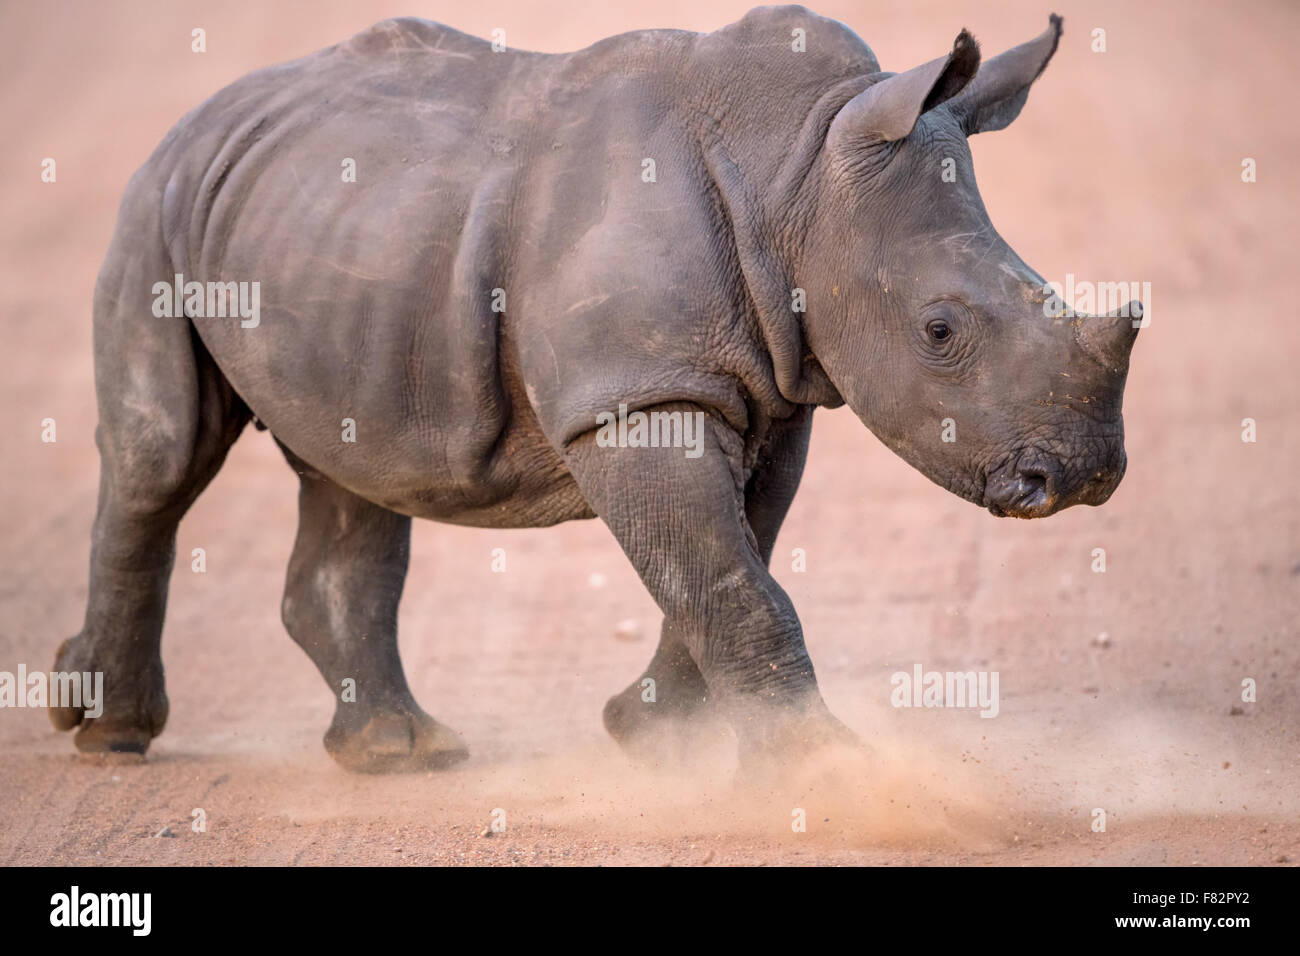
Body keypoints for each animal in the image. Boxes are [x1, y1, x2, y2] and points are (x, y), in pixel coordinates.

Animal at [52, 5, 1141, 772]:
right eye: (940, 331)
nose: (1084, 475)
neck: (797, 170)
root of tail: (206, 114)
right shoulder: (635, 396)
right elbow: (736, 584)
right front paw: (826, 780)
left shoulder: (762, 393)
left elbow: (727, 567)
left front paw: (649, 740)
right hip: (157, 205)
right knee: (161, 457)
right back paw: (108, 734)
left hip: (329, 230)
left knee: (355, 469)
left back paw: (399, 754)